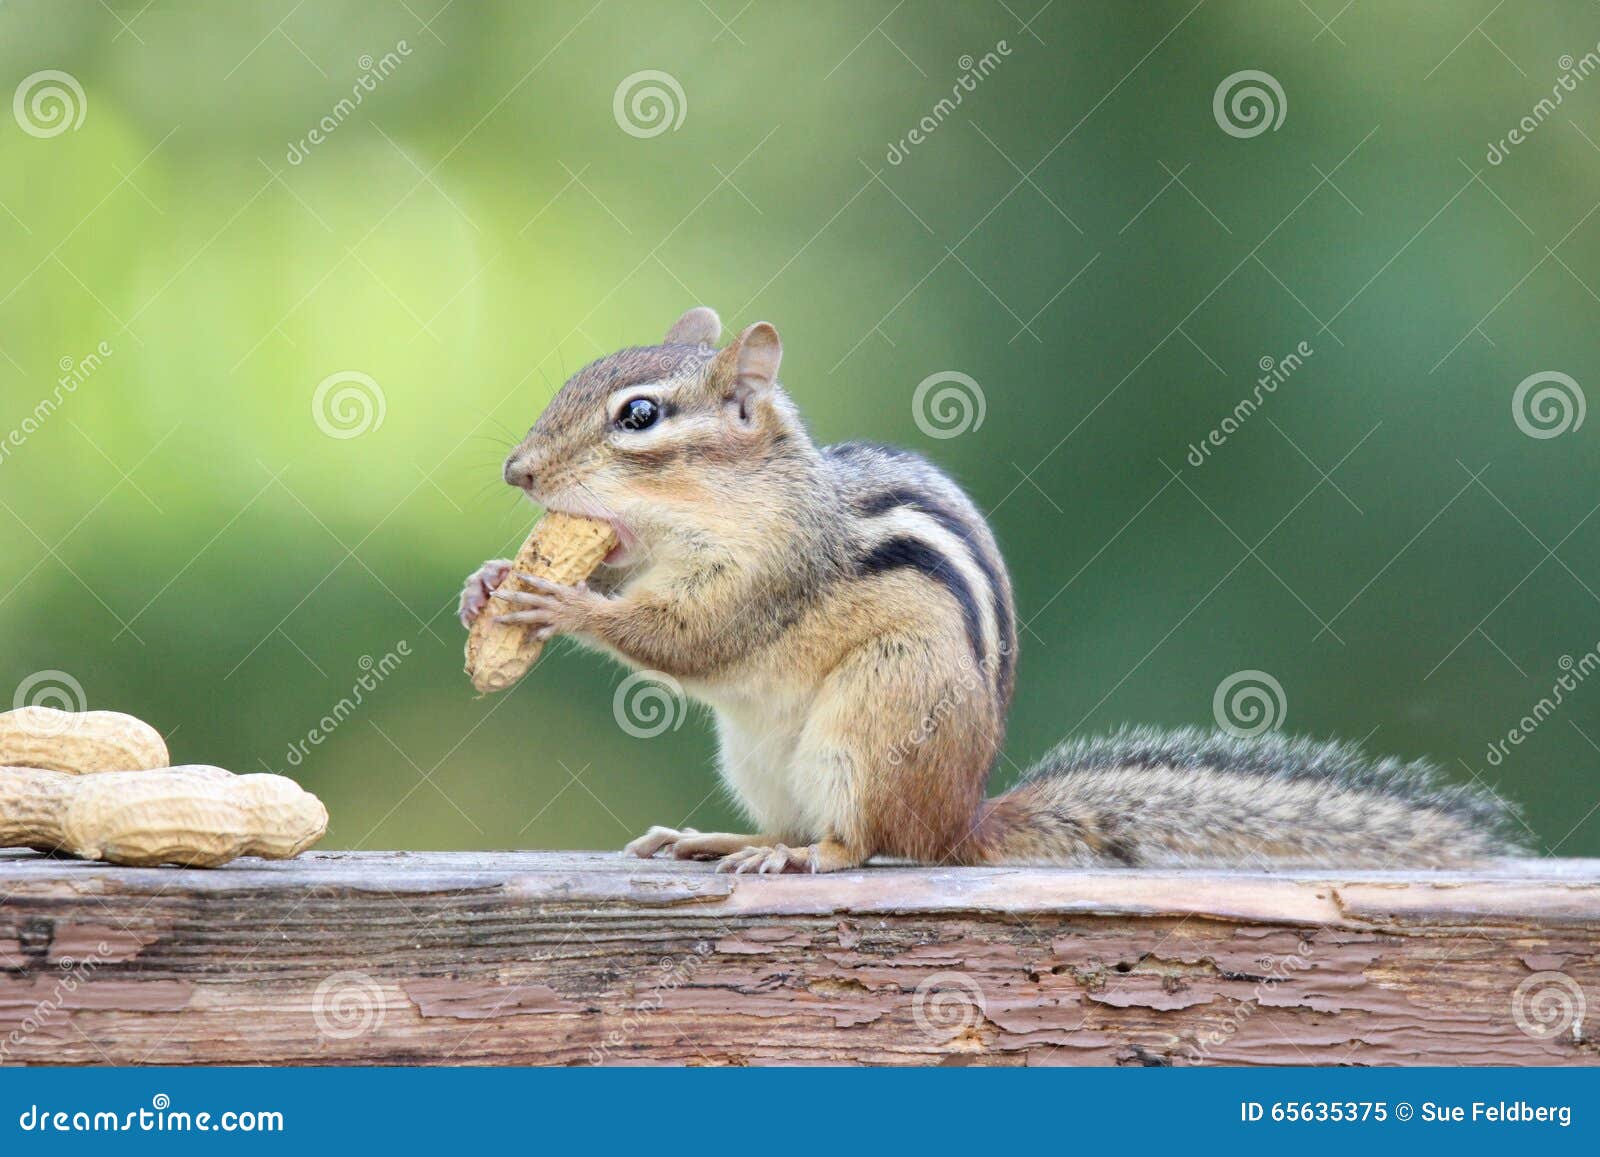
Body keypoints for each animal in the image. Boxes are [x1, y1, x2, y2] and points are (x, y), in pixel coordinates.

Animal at [459, 306, 1525, 874]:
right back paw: (717, 839)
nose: (515, 471)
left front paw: (562, 603)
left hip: (876, 717)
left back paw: (801, 857)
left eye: (638, 416)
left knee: (861, 844)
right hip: (759, 757)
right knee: (798, 820)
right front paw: (486, 585)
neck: (722, 510)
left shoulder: (774, 574)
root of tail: (964, 818)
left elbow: (693, 638)